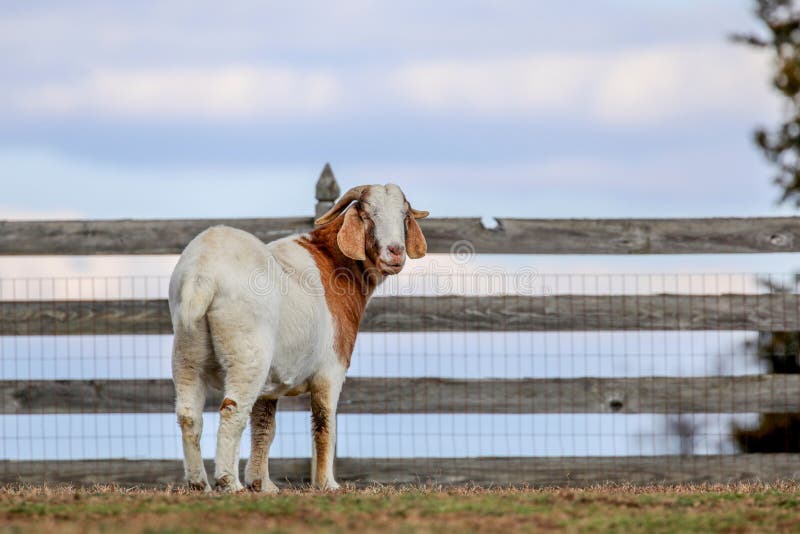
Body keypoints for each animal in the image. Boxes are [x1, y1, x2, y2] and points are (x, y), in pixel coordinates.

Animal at [169, 184, 429, 492]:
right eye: (368, 215)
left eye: (404, 215)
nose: (396, 252)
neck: (332, 262)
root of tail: (203, 275)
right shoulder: (331, 370)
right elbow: (324, 424)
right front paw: (327, 484)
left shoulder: (271, 383)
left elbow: (265, 427)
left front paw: (262, 484)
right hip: (247, 355)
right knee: (232, 410)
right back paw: (229, 482)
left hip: (187, 349)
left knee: (188, 415)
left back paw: (199, 483)